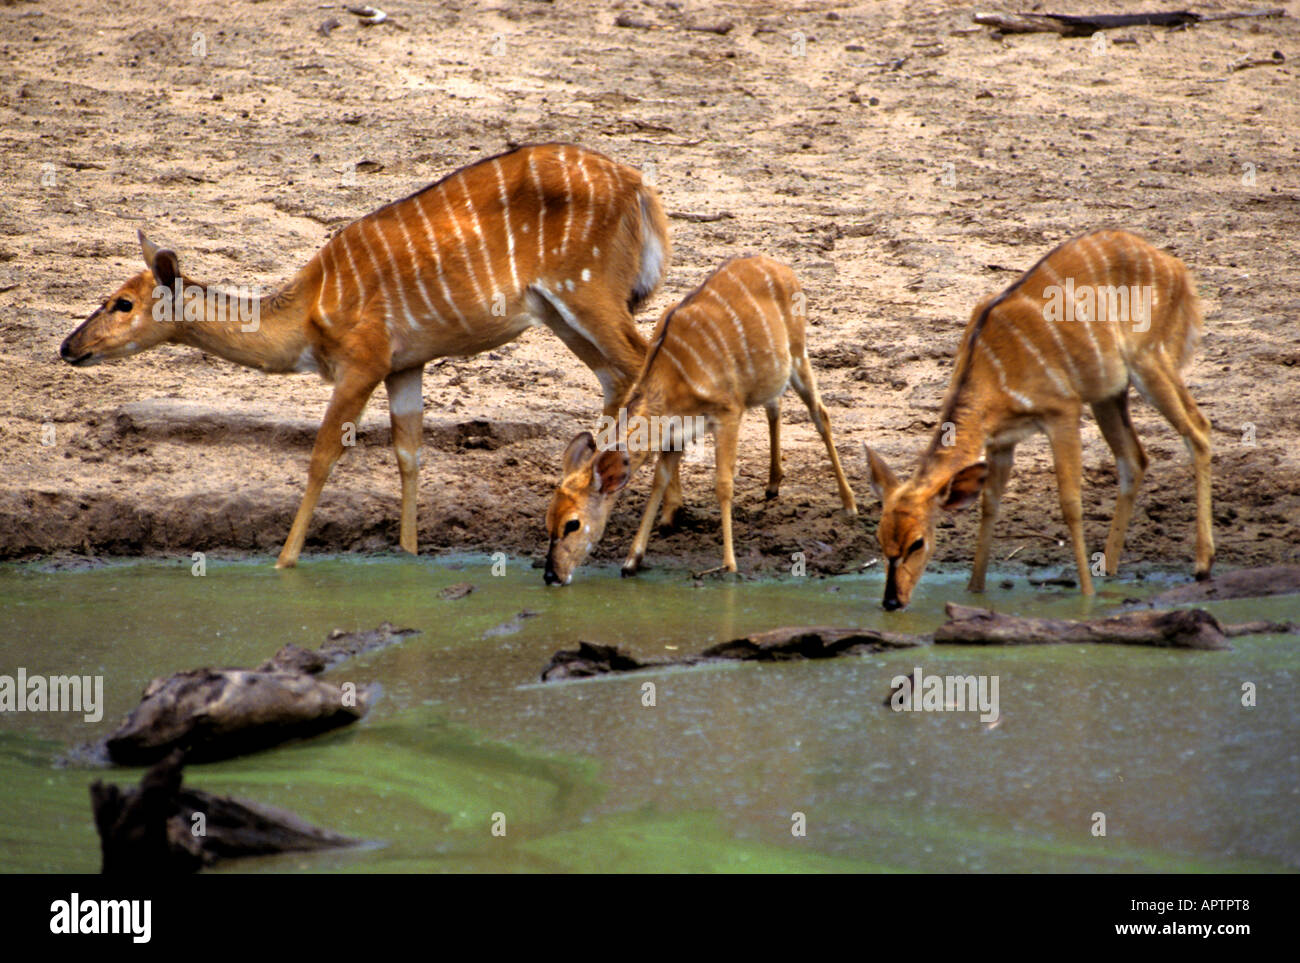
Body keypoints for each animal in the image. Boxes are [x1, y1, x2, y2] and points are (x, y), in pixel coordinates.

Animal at [59, 143, 683, 568]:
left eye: (121, 303)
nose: (70, 347)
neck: (308, 312)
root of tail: (641, 189)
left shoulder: (361, 364)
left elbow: (322, 456)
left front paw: (284, 563)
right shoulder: (405, 365)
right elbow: (409, 454)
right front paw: (408, 554)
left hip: (588, 293)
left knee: (647, 364)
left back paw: (662, 519)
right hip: (560, 313)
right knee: (618, 379)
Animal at [543, 255, 858, 585]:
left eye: (572, 524)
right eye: (548, 520)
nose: (551, 575)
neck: (673, 379)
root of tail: (782, 268)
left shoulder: (728, 411)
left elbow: (723, 483)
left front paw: (729, 564)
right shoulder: (675, 434)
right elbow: (658, 483)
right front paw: (631, 561)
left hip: (798, 354)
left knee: (821, 414)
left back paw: (850, 504)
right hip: (770, 375)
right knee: (775, 405)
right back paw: (773, 485)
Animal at [866, 229, 1213, 610]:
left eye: (918, 542)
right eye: (880, 539)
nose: (891, 601)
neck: (991, 374)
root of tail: (1177, 268)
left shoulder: (1062, 412)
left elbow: (1070, 503)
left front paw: (1087, 597)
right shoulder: (1002, 441)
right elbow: (990, 504)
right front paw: (974, 590)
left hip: (1149, 359)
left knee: (1198, 430)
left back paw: (1202, 564)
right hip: (1109, 392)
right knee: (1134, 459)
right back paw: (1110, 570)